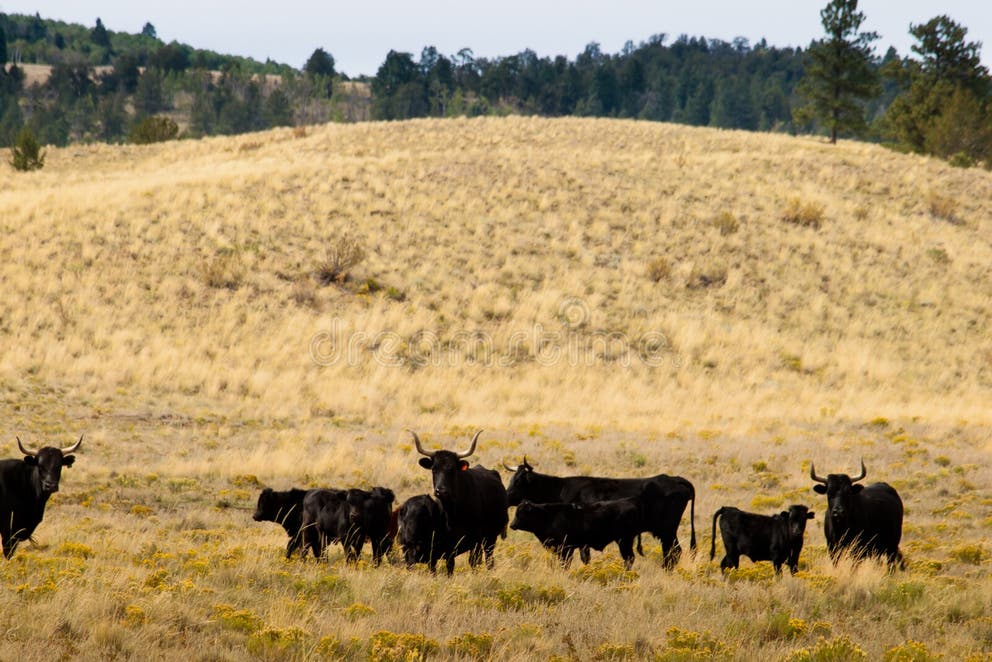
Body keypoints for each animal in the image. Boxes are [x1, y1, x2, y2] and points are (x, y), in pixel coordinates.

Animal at [410, 430, 508, 575]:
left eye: (452, 469)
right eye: (434, 469)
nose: (441, 491)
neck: (452, 512)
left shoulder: (476, 538)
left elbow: (473, 561)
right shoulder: (448, 542)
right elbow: (450, 564)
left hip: (490, 537)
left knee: (488, 558)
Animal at [509, 491, 651, 569]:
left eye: (520, 513)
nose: (512, 525)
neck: (547, 515)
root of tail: (632, 501)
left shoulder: (566, 549)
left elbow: (565, 563)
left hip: (624, 541)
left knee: (629, 558)